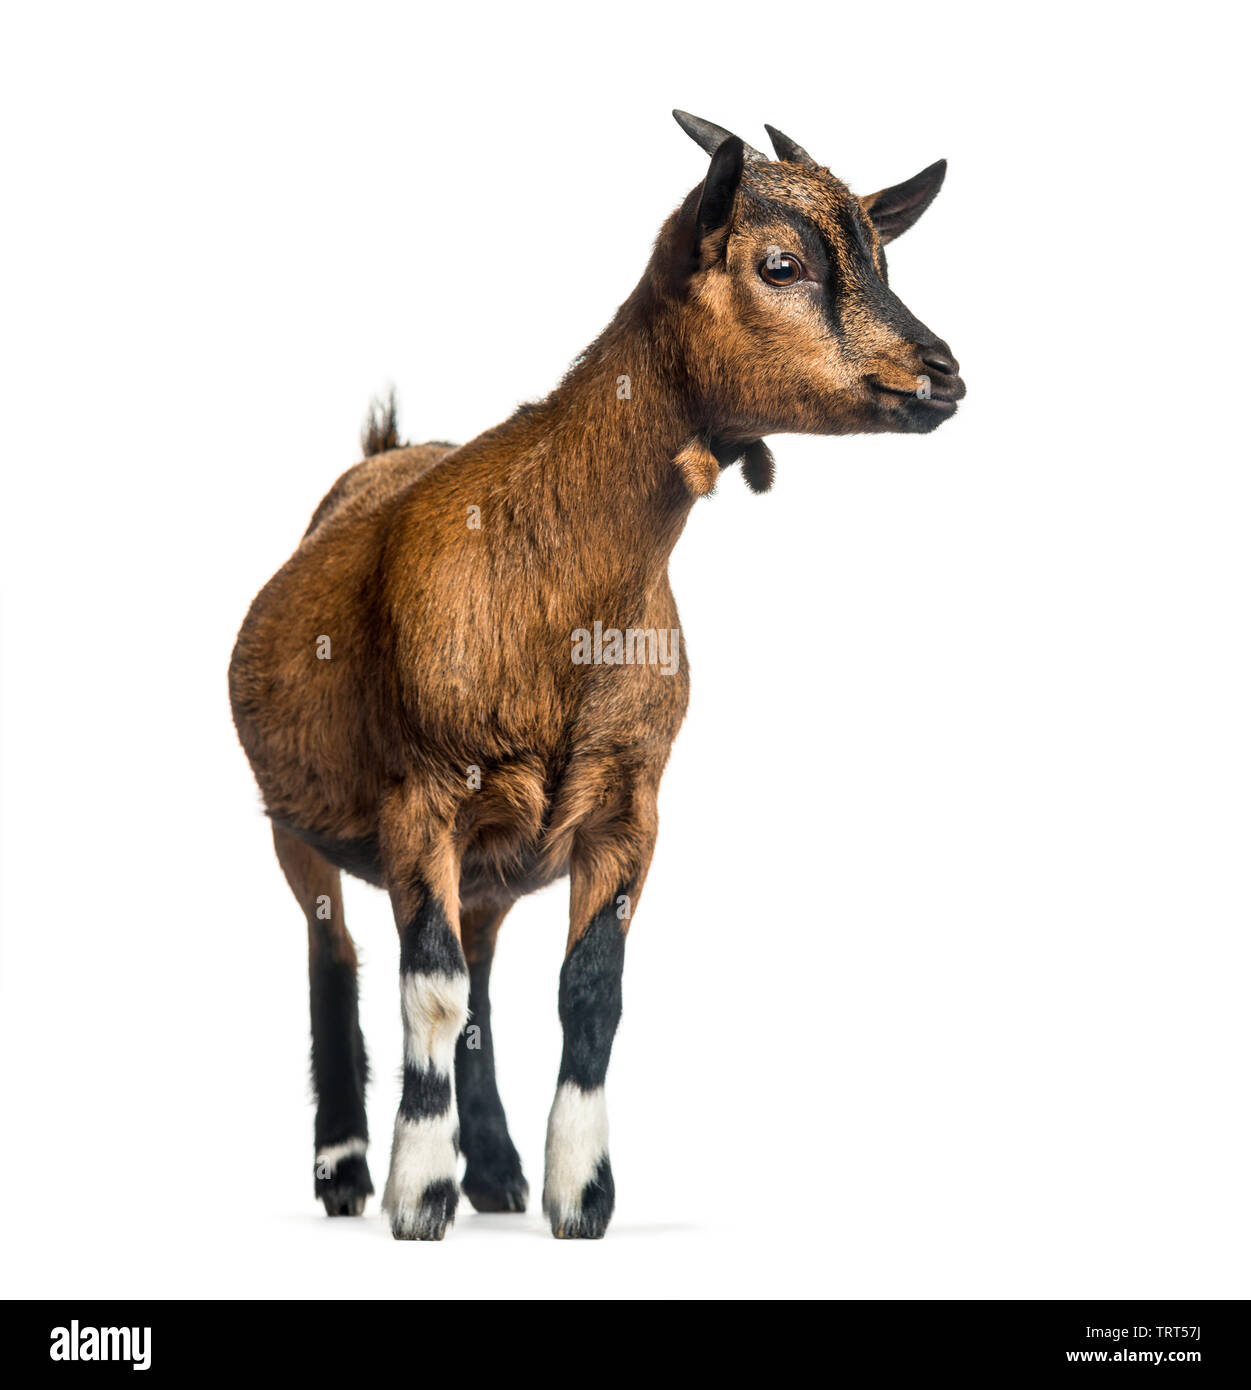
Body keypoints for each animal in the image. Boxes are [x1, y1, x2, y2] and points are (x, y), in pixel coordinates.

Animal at [229, 111, 965, 1240]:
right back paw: (347, 1170)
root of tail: (381, 453)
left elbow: (589, 992)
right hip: (294, 826)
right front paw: (417, 1194)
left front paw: (579, 1193)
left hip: (488, 865)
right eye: (781, 263)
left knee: (480, 978)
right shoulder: (420, 797)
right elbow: (426, 988)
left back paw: (494, 1173)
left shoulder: (629, 804)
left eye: (882, 258)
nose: (941, 373)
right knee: (339, 961)